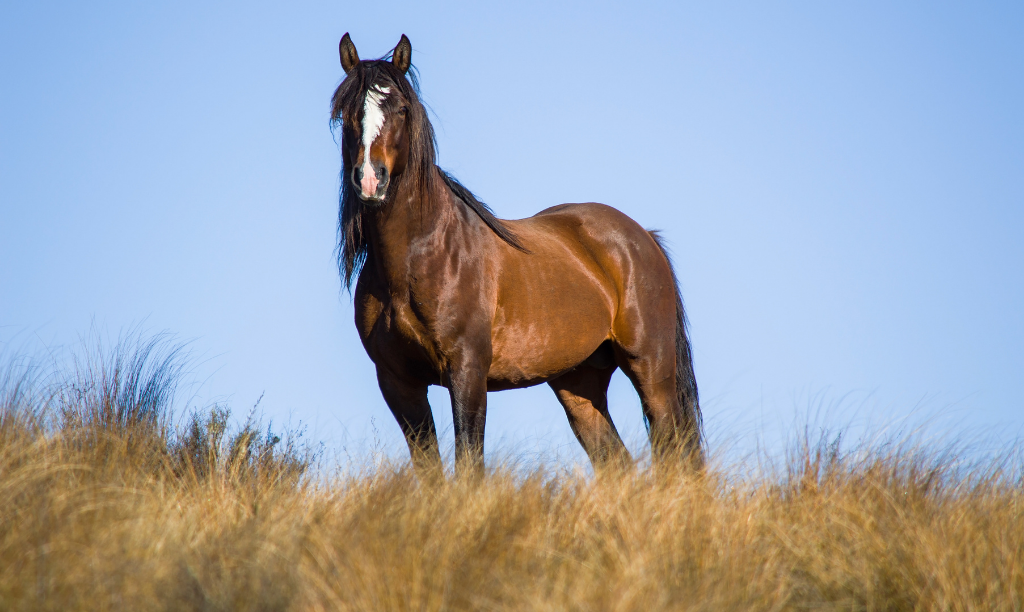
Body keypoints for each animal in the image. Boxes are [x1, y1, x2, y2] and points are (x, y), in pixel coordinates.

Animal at [331, 33, 702, 475]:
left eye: (402, 109)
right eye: (345, 112)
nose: (371, 180)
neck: (417, 260)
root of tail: (642, 237)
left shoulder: (468, 373)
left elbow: (469, 463)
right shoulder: (399, 383)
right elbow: (431, 470)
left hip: (652, 370)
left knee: (674, 452)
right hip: (578, 382)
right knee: (616, 461)